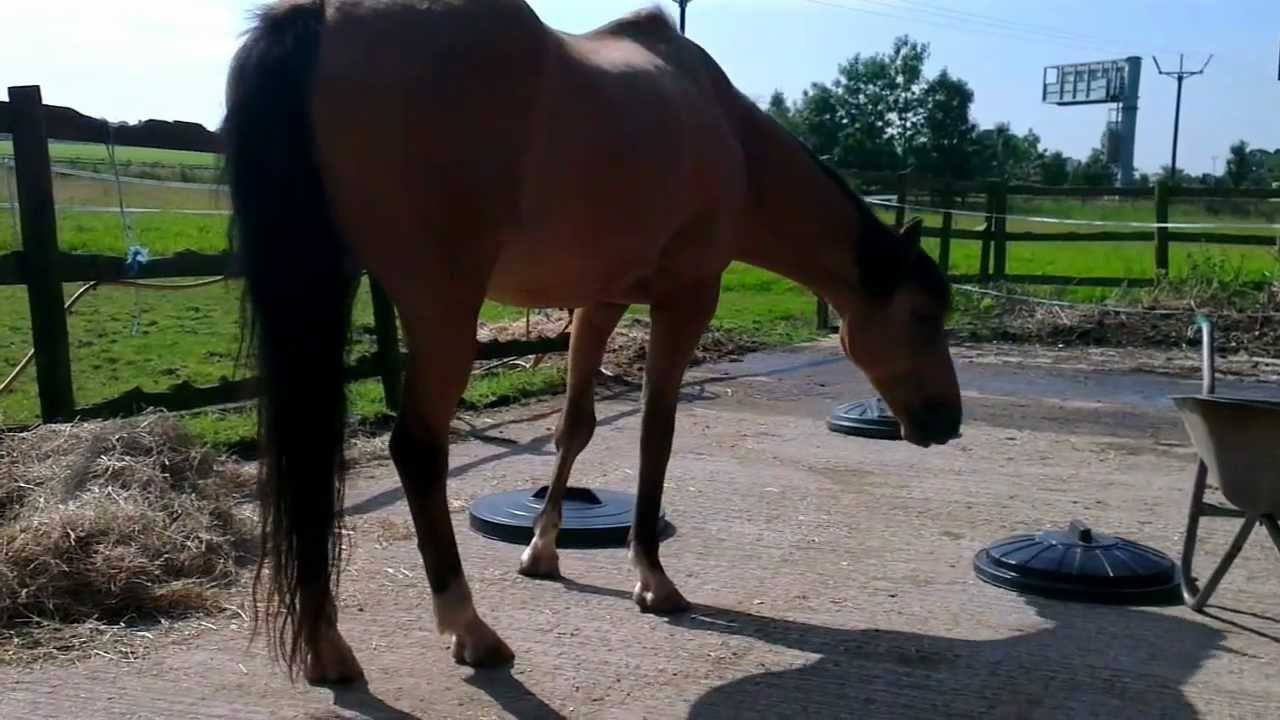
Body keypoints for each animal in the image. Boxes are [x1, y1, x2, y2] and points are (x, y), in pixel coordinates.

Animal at [222, 0, 961, 685]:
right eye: (925, 315)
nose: (948, 422)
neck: (733, 138)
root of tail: (321, 16)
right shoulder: (687, 298)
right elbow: (656, 434)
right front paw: (652, 579)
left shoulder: (599, 302)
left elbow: (574, 426)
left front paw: (543, 552)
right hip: (443, 307)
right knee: (417, 450)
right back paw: (469, 627)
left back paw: (326, 646)